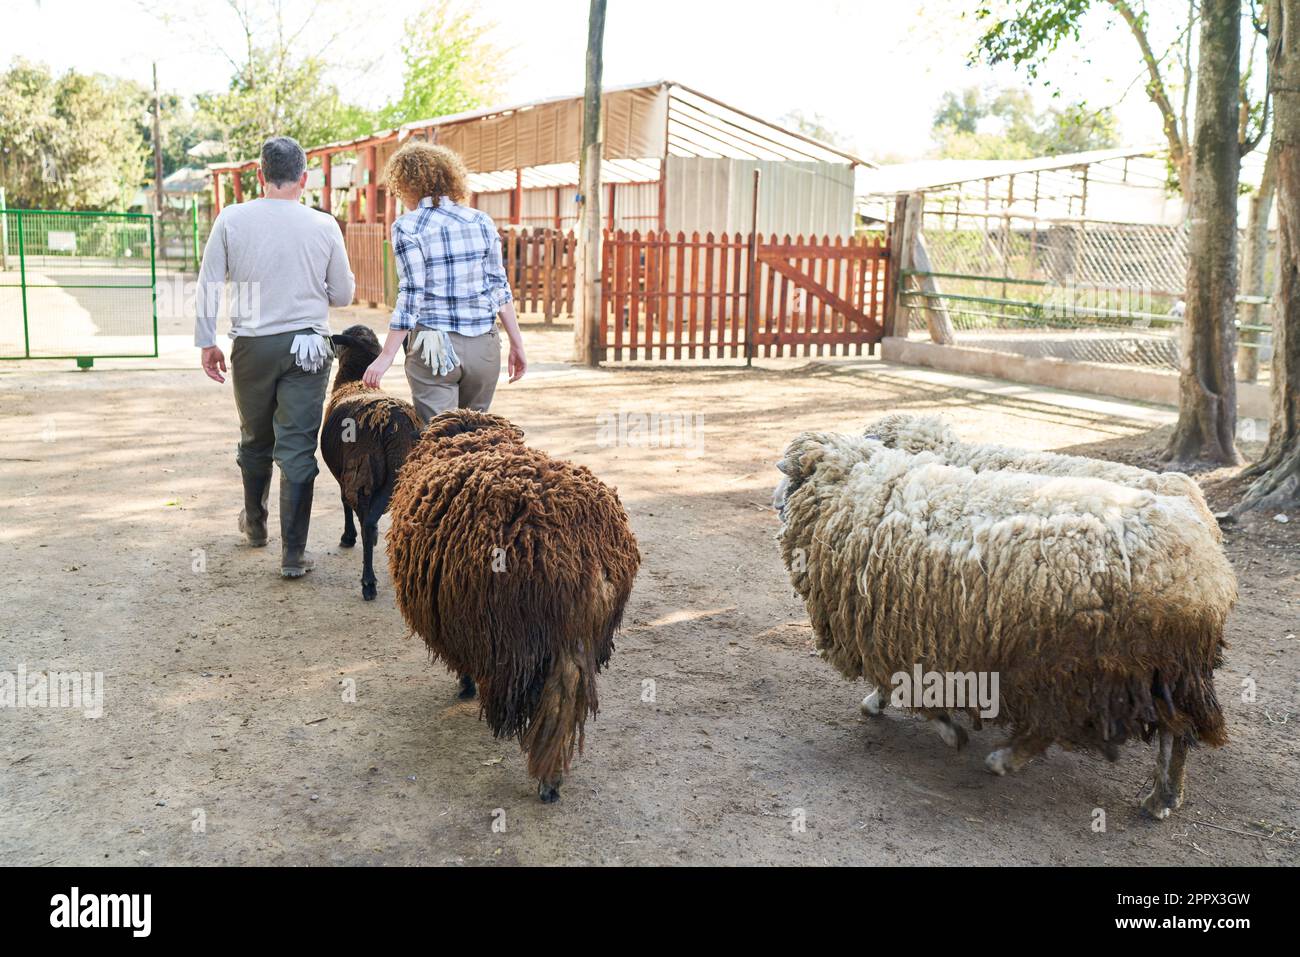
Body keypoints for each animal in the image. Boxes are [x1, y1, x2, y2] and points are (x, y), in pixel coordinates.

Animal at [320, 324, 424, 601]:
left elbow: (344, 502)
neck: (353, 380)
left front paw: (347, 538)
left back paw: (369, 583)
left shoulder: (344, 473)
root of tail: (396, 424)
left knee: (367, 523)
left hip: (363, 473)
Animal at [386, 409, 641, 802]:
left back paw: (549, 780)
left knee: (560, 696)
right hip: (581, 632)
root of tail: (586, 542)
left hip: (534, 632)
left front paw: (465, 685)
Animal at [773, 430, 1236, 819]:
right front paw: (890, 706)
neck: (862, 494)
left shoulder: (897, 631)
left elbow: (916, 690)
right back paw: (1164, 796)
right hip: (1162, 667)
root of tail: (1206, 565)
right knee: (1175, 731)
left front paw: (941, 728)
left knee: (1061, 724)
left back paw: (1007, 760)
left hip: (1074, 664)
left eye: (788, 477)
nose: (774, 504)